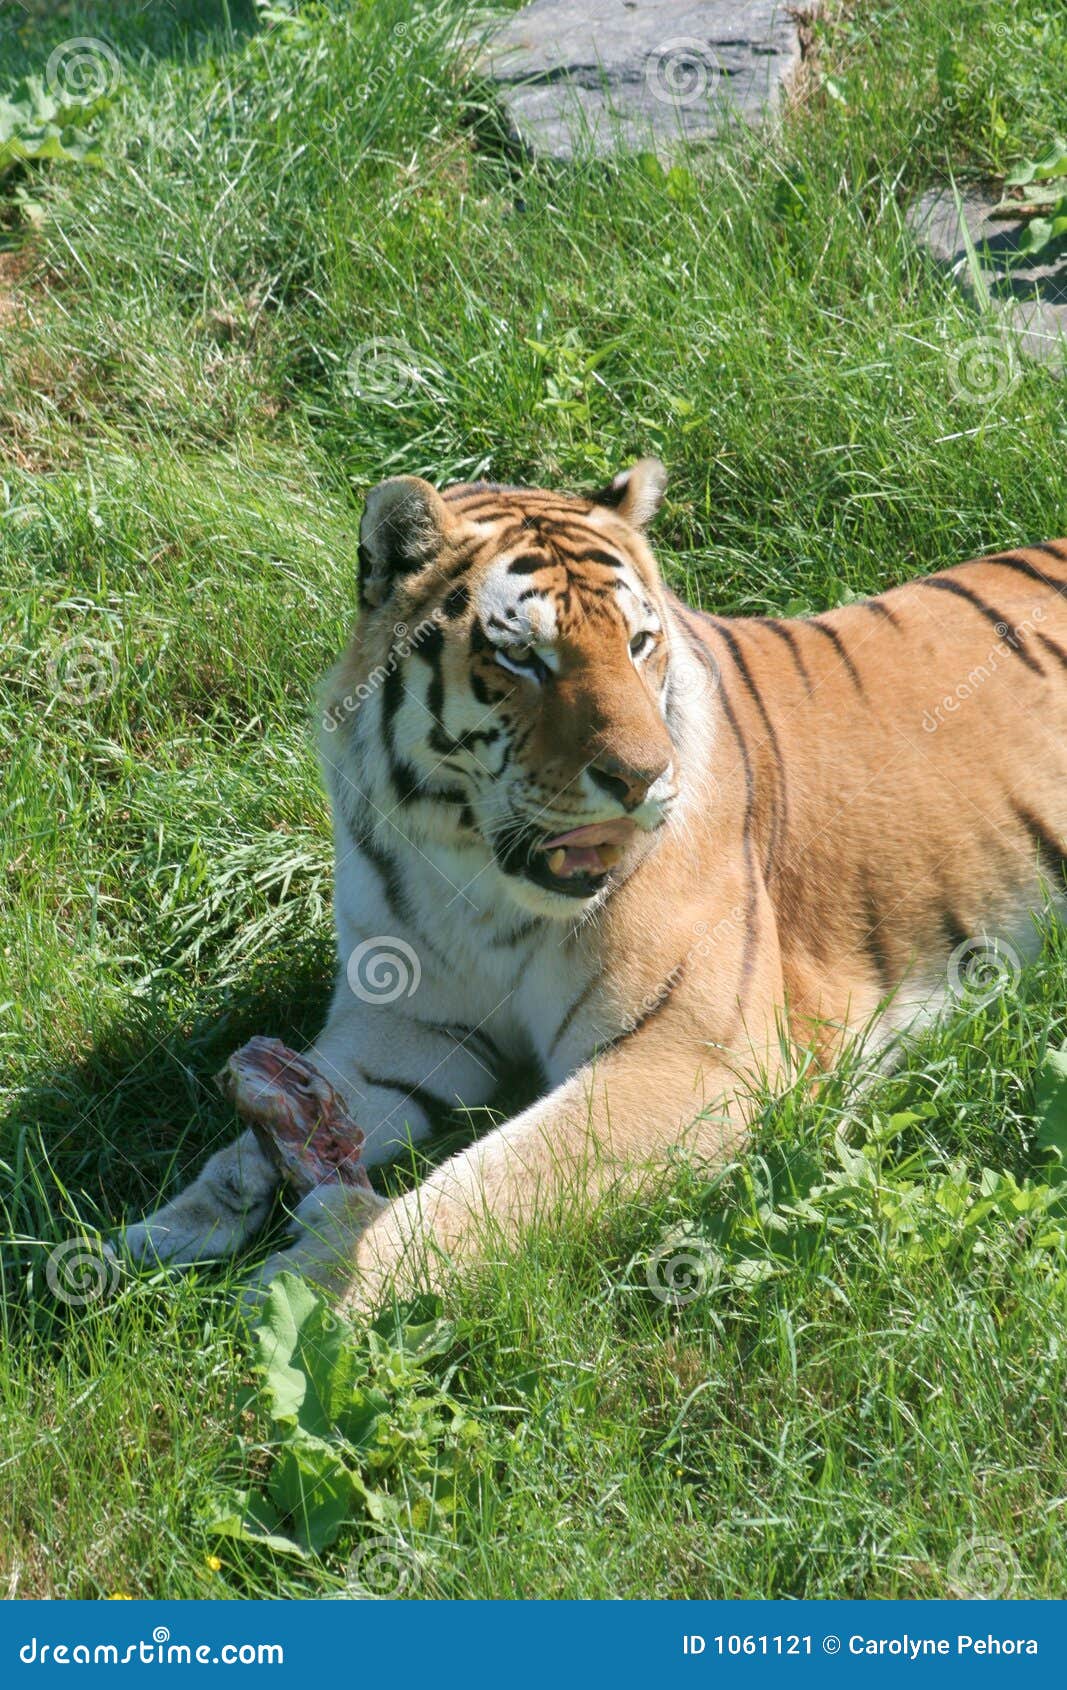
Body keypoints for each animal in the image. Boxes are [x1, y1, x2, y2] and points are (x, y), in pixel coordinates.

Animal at [122, 458, 1067, 1317]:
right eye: (522, 657)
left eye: (639, 643)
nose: (644, 778)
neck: (477, 882)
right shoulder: (407, 1025)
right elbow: (259, 1136)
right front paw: (154, 1234)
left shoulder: (694, 1059)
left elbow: (488, 1183)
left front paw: (306, 1286)